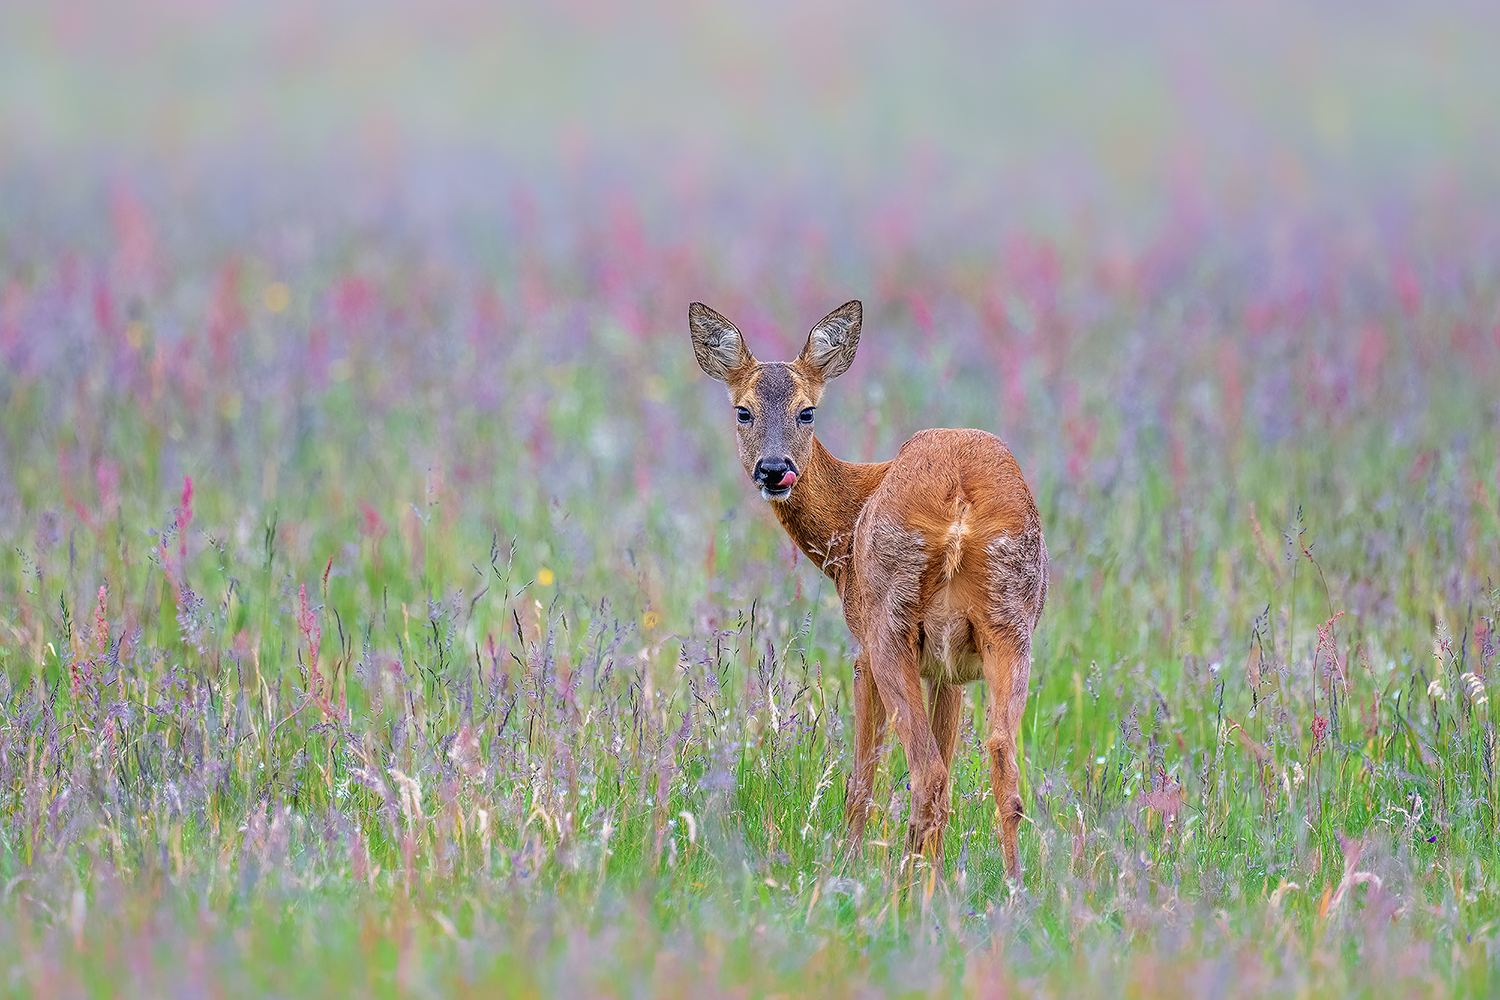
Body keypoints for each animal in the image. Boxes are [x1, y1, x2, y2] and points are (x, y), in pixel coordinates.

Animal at [689, 299, 1047, 882]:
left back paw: (902, 888)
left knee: (926, 773)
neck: (846, 517)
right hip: (1011, 622)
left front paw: (850, 862)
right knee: (1000, 762)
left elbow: (863, 773)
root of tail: (960, 501)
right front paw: (935, 869)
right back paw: (1010, 887)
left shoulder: (864, 648)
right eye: (743, 411)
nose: (774, 469)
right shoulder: (949, 667)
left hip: (889, 622)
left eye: (807, 412)